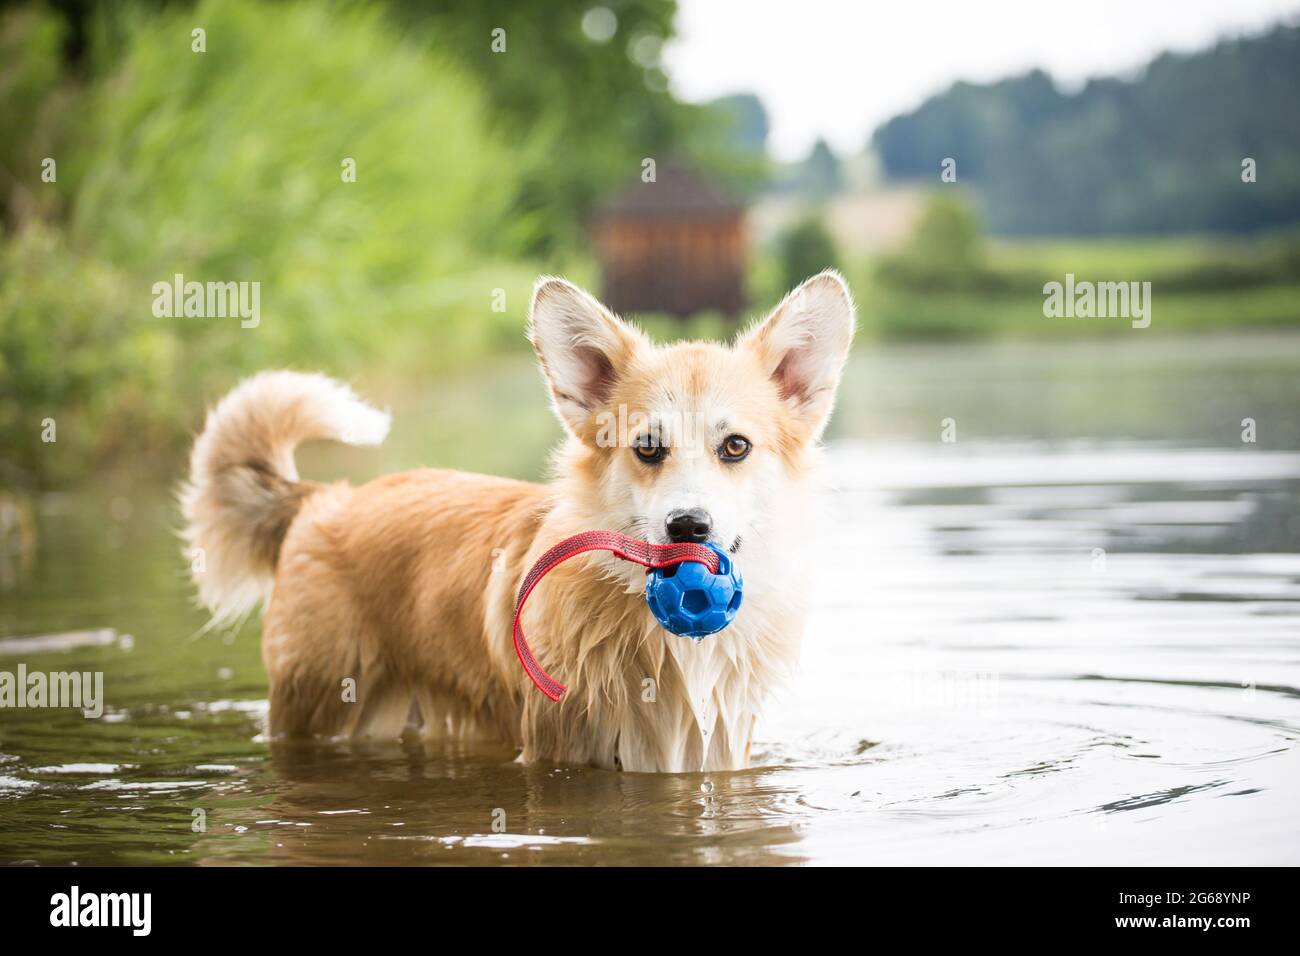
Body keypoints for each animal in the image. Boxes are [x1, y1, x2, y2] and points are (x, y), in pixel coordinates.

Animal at [180, 273, 852, 775]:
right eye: (647, 447)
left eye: (736, 447)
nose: (689, 527)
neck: (666, 645)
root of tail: (320, 499)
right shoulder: (559, 745)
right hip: (322, 707)